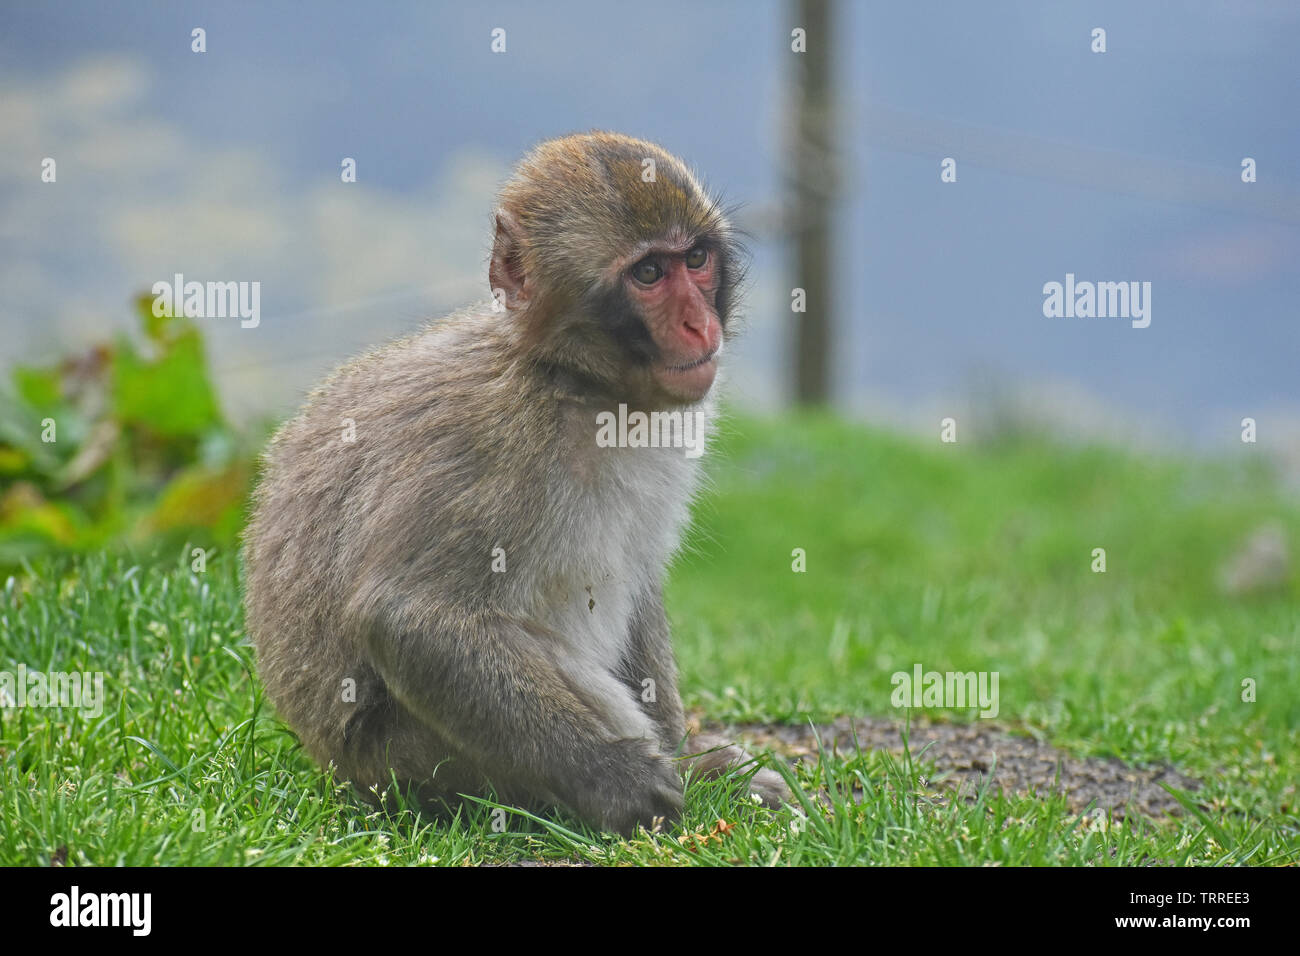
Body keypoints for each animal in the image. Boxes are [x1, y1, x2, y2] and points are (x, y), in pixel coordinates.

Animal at [242, 132, 789, 836]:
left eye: (695, 259)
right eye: (648, 274)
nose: (701, 325)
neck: (574, 382)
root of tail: (340, 773)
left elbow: (640, 581)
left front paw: (692, 758)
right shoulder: (490, 442)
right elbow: (408, 616)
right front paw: (614, 778)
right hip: (422, 763)